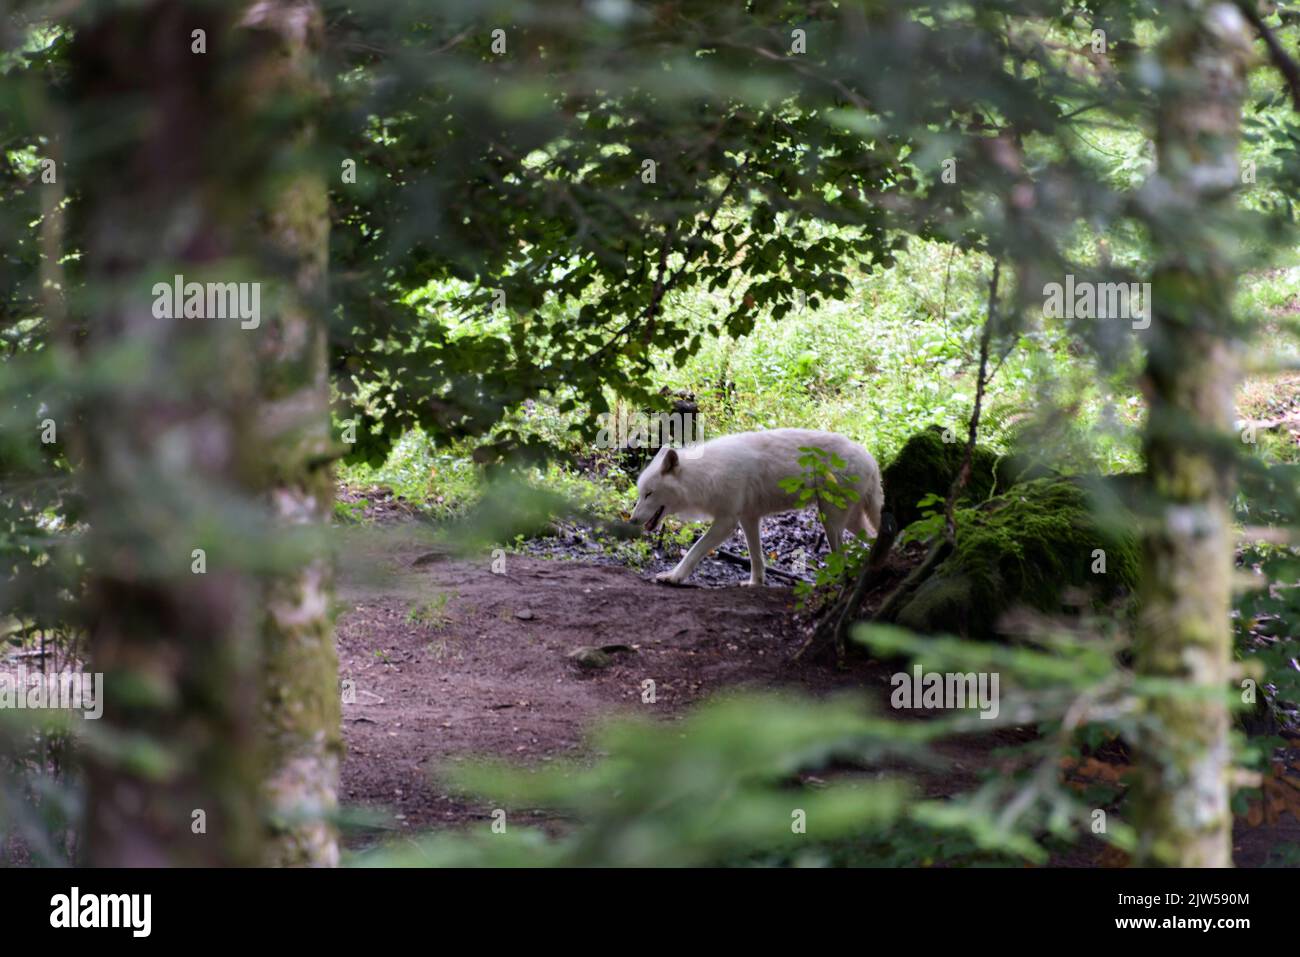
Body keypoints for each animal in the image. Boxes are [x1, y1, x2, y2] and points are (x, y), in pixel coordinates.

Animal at [629, 428, 884, 586]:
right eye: (640, 495)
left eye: (649, 494)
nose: (631, 521)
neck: (704, 476)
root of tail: (871, 458)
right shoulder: (748, 519)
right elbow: (756, 556)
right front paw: (754, 583)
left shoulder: (727, 523)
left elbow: (695, 550)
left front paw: (673, 577)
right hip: (847, 521)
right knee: (873, 538)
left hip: (830, 521)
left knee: (843, 554)